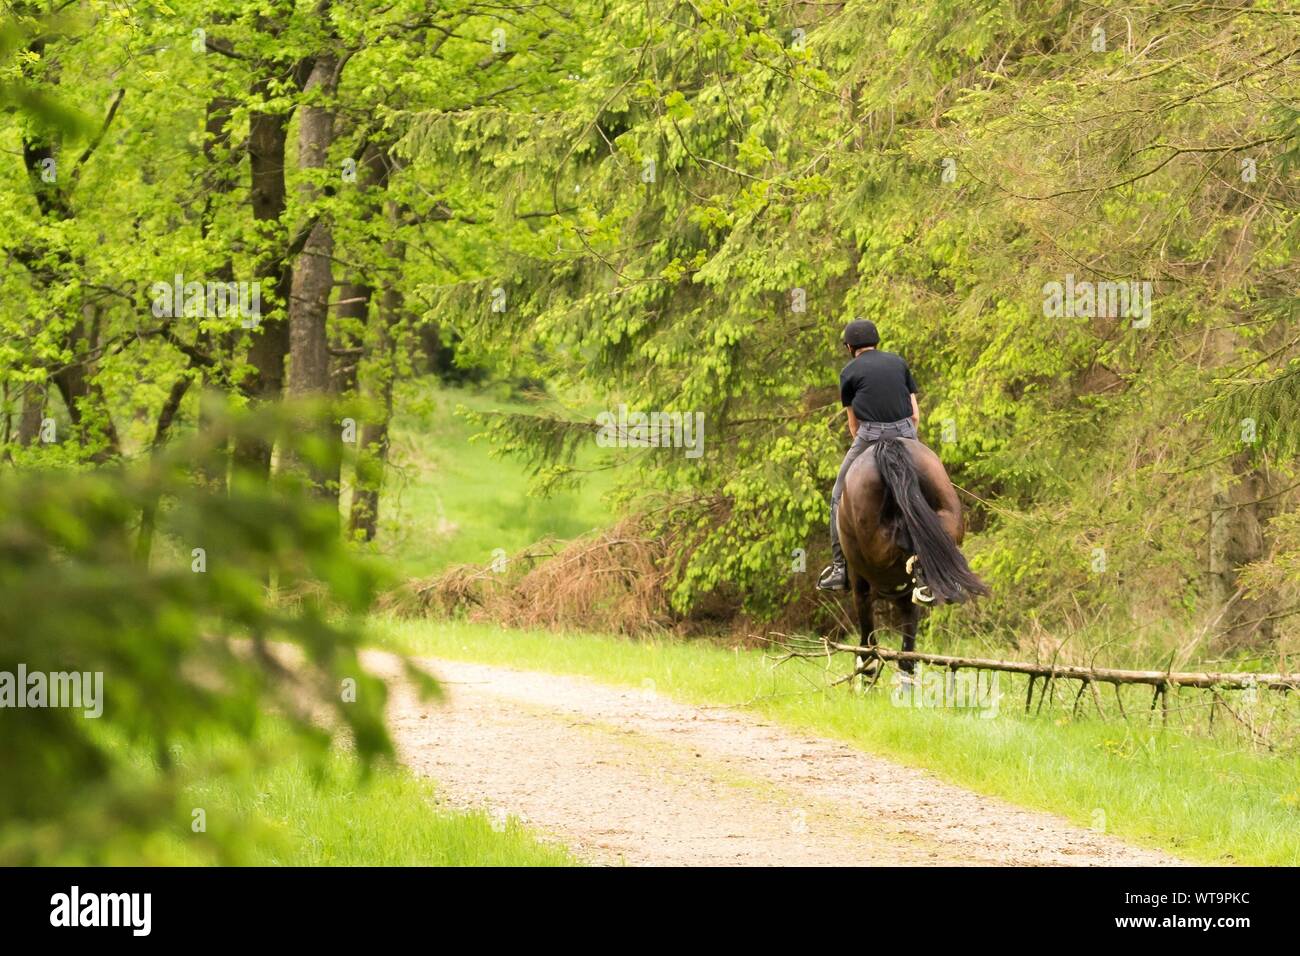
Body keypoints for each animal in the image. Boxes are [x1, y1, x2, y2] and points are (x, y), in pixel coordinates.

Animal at [836, 436, 989, 683]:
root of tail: (889, 443)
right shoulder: (908, 601)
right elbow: (907, 655)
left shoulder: (862, 591)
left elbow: (868, 646)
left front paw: (867, 673)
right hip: (945, 507)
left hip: (874, 543)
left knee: (896, 536)